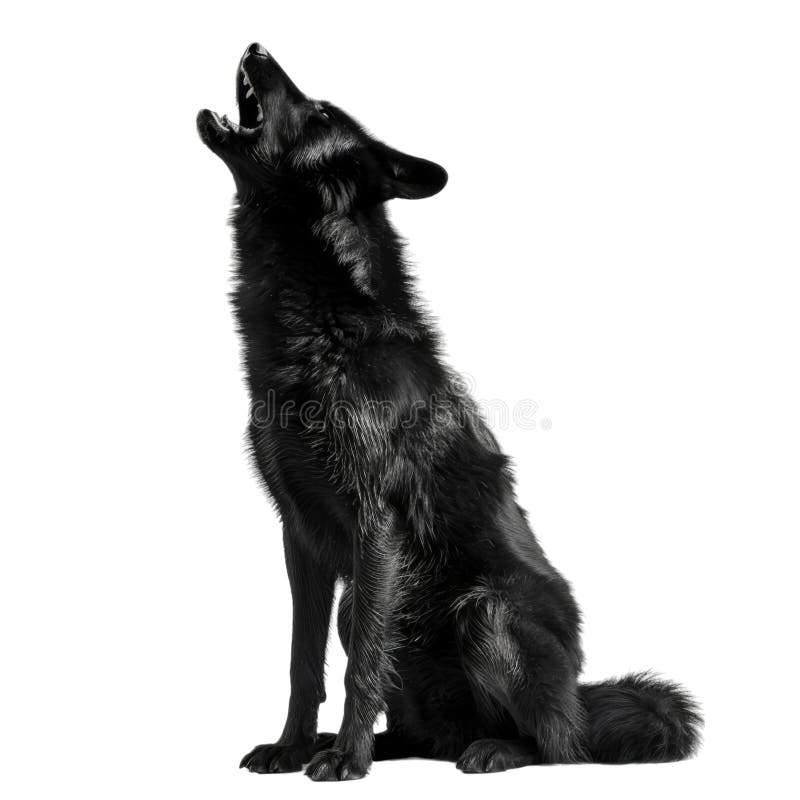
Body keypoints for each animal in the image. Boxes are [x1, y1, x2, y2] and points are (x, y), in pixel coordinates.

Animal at [196, 43, 701, 781]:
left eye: (319, 114)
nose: (258, 47)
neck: (324, 336)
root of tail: (582, 698)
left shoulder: (374, 523)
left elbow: (360, 667)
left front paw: (344, 763)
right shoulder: (300, 536)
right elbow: (303, 663)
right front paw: (293, 748)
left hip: (483, 612)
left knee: (560, 748)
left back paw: (490, 749)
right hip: (373, 611)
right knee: (421, 723)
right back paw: (381, 744)